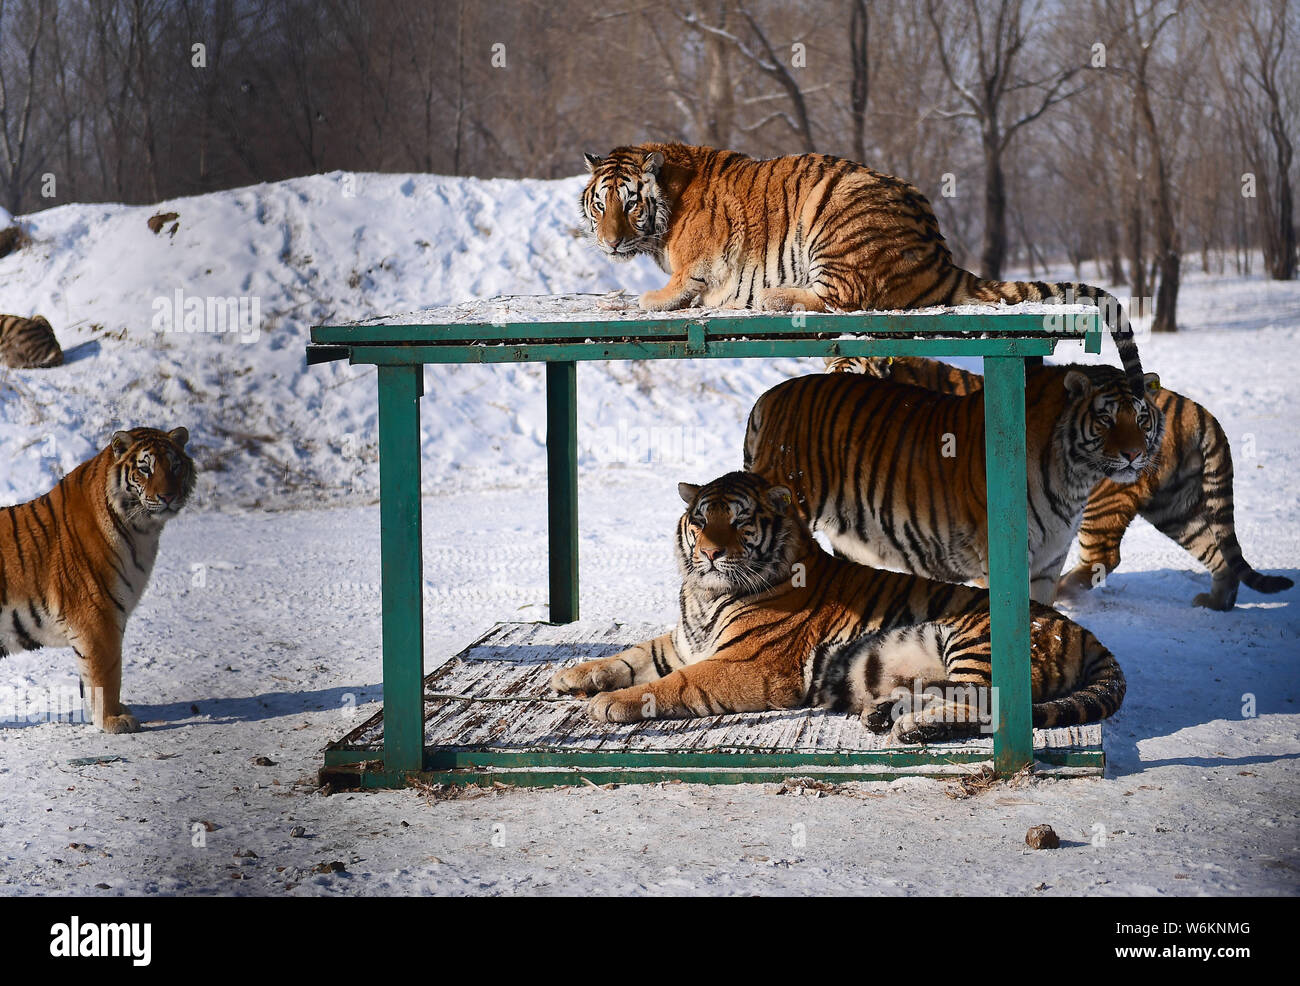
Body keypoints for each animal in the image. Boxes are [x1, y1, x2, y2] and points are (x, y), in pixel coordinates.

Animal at [0, 427, 195, 733]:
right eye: (145, 468)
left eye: (175, 466)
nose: (167, 496)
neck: (142, 531)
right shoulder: (98, 614)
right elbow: (107, 674)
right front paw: (114, 720)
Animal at [549, 471, 1124, 740]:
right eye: (700, 520)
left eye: (738, 521)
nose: (709, 553)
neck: (705, 595)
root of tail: (1085, 633)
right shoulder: (683, 641)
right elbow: (630, 655)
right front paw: (573, 674)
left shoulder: (749, 664)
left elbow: (675, 684)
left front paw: (610, 704)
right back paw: (886, 714)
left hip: (974, 636)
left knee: (990, 702)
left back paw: (913, 726)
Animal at [579, 142, 1149, 397]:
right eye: (600, 204)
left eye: (630, 204)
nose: (609, 244)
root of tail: (938, 252)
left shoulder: (695, 265)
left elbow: (680, 284)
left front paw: (649, 297)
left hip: (835, 220)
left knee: (844, 299)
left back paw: (775, 295)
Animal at [743, 364, 1163, 605]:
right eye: (1106, 419)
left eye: (1142, 418)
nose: (1134, 454)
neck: (1075, 478)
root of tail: (768, 397)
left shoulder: (1050, 559)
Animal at [828, 355, 1295, 610]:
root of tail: (1196, 408)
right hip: (1176, 507)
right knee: (1216, 551)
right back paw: (1216, 602)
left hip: (1104, 504)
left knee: (1104, 557)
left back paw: (1069, 592)